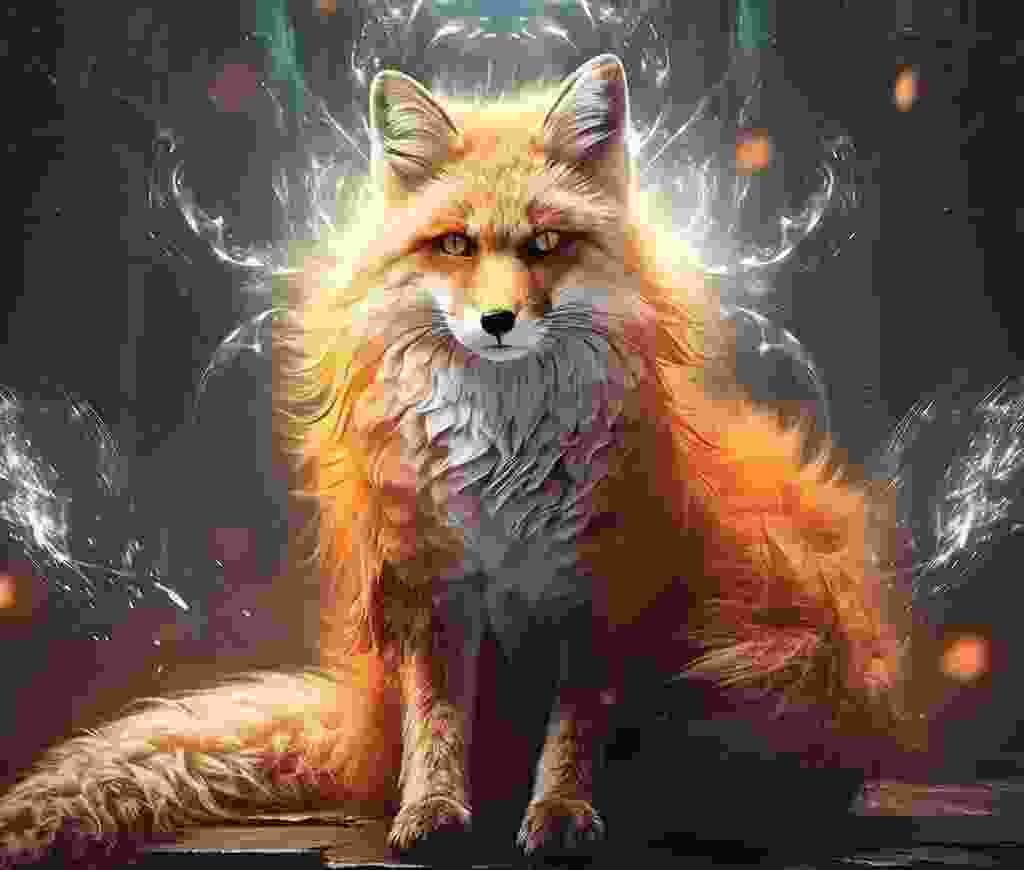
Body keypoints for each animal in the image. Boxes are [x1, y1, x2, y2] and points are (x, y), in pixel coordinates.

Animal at [0, 54, 920, 864]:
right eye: (455, 245)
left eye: (547, 243)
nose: (500, 322)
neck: (508, 460)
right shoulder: (431, 579)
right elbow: (438, 723)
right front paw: (435, 812)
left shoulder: (596, 586)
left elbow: (573, 731)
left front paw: (561, 814)